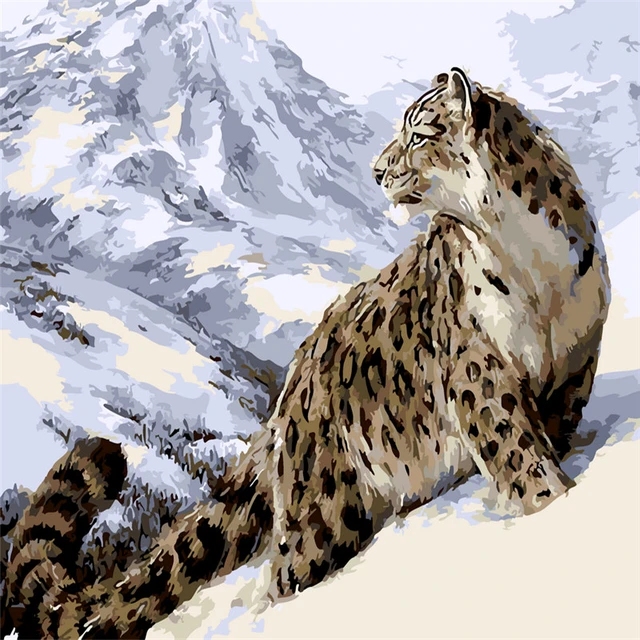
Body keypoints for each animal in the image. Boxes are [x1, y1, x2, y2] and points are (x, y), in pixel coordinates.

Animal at [1, 68, 609, 639]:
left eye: (417, 133)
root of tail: (292, 385)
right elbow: (517, 453)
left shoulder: (576, 360)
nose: (377, 171)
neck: (529, 262)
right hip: (323, 509)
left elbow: (549, 434)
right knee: (287, 575)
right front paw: (551, 504)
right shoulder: (478, 369)